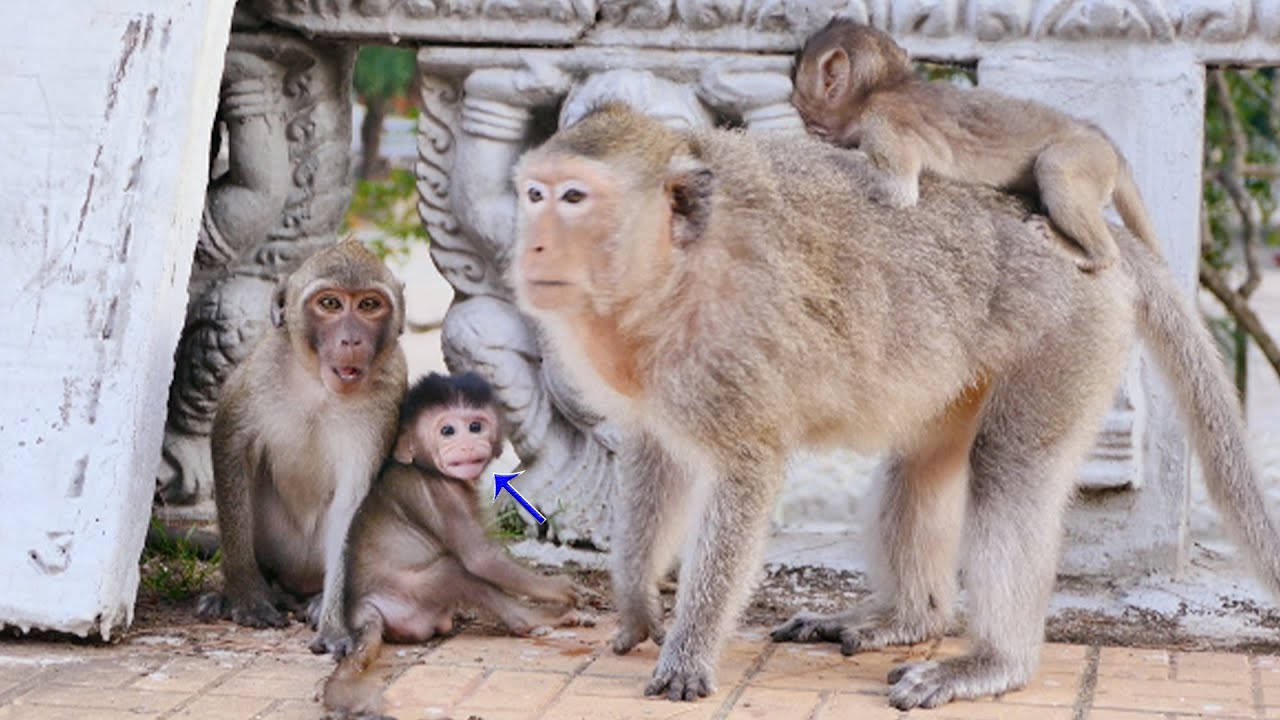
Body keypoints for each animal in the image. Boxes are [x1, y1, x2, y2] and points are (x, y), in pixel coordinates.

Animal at [197, 239, 408, 656]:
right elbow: (231, 446)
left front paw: (334, 625)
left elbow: (353, 502)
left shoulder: (387, 394)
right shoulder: (262, 369)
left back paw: (317, 602)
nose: (350, 340)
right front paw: (246, 597)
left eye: (369, 305)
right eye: (330, 304)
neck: (320, 388)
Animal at [323, 371, 586, 717]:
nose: (467, 444)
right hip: (408, 598)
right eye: (447, 431)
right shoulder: (441, 494)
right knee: (456, 571)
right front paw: (560, 587)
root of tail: (361, 612)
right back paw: (531, 619)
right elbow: (480, 559)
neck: (423, 465)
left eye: (475, 426)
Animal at [508, 103, 1280, 709]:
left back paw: (995, 662)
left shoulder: (730, 354)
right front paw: (637, 605)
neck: (674, 267)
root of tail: (1097, 238)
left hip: (1069, 334)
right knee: (920, 462)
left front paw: (690, 650)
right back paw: (910, 619)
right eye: (535, 194)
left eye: (572, 198)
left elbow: (747, 472)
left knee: (1009, 471)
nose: (531, 243)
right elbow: (655, 458)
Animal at [791, 18, 1160, 273]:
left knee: (1055, 166)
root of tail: (1109, 146)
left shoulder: (883, 121)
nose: (804, 123)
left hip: (1087, 156)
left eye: (802, 107)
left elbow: (898, 192)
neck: (887, 88)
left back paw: (1096, 255)